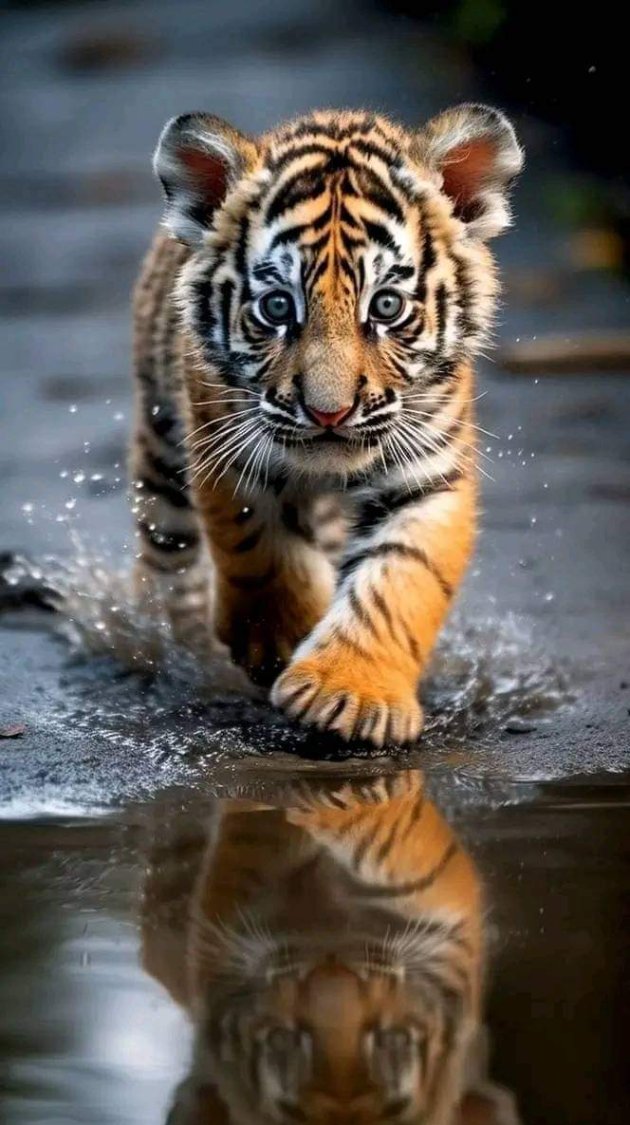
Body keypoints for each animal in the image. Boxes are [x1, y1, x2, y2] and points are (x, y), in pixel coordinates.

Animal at [131, 105, 523, 743]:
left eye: (386, 306)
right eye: (277, 307)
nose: (328, 412)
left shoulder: (428, 473)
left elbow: (401, 576)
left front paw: (348, 695)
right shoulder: (227, 443)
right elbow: (258, 543)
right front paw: (282, 637)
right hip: (162, 449)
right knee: (167, 557)